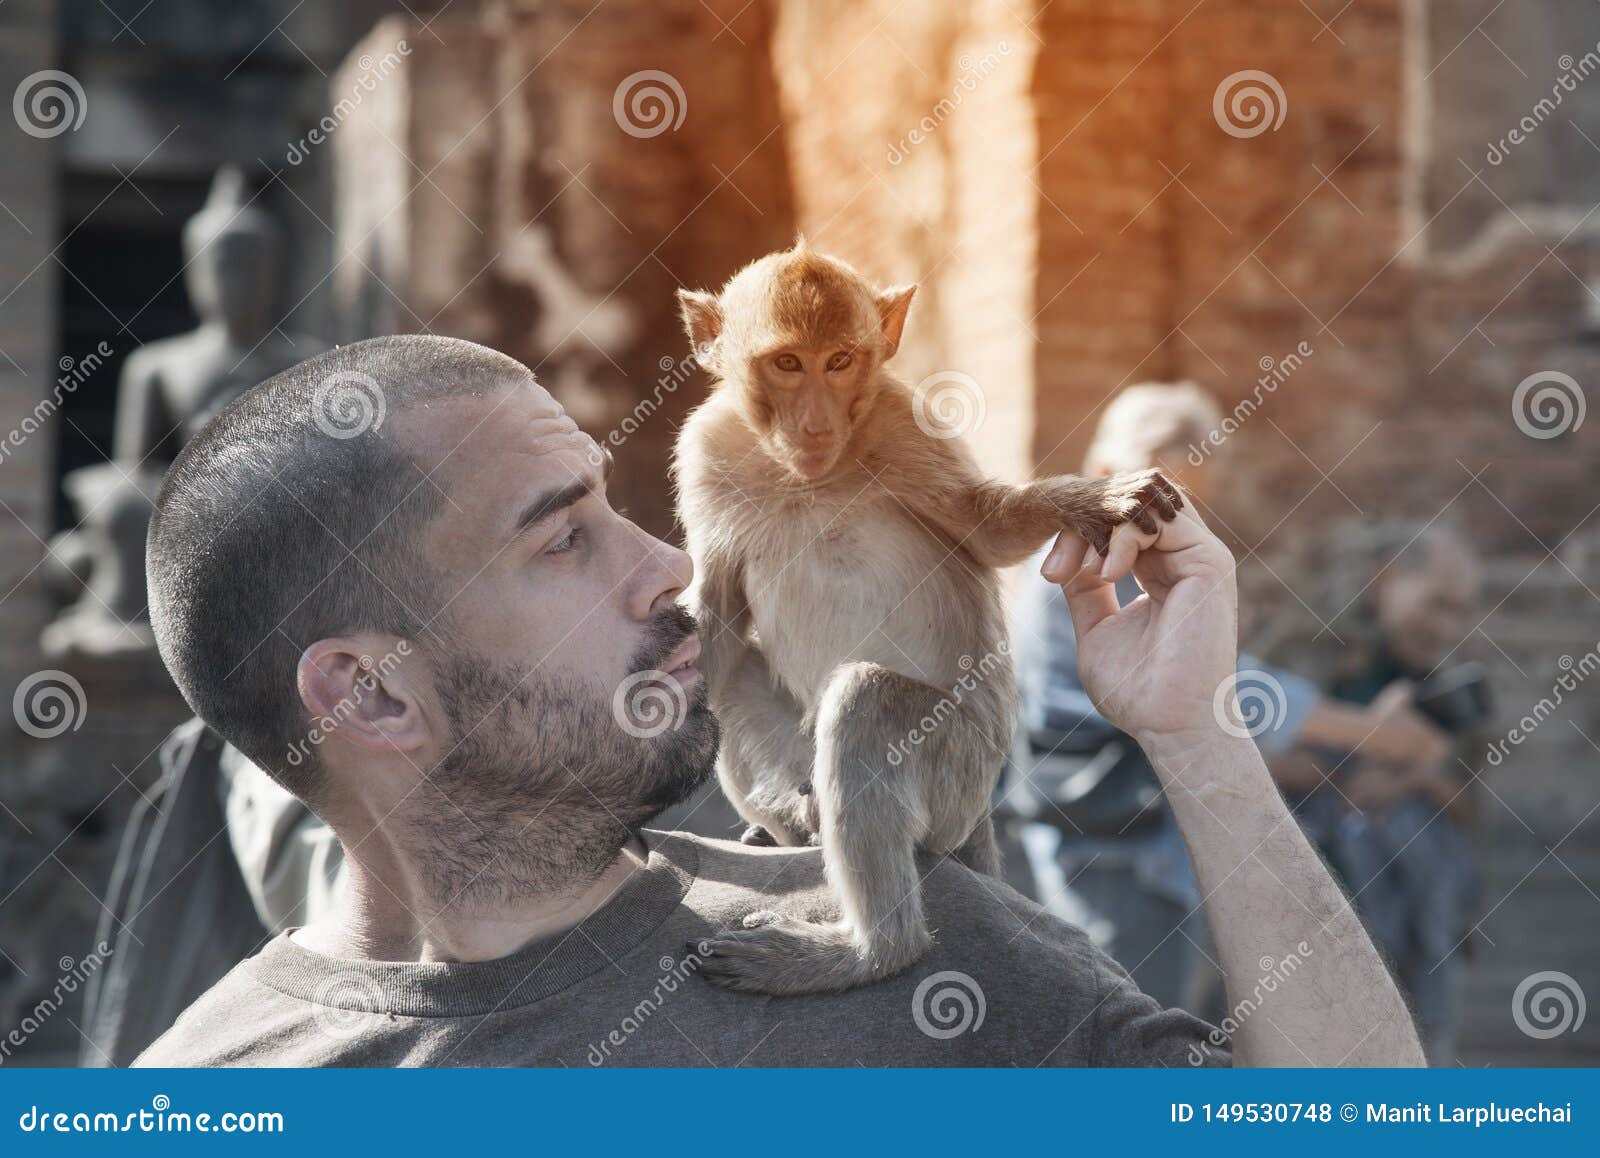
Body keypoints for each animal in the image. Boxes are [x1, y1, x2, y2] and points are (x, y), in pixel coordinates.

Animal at [669, 240, 1182, 995]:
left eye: (840, 361)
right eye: (787, 363)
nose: (815, 423)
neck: (807, 475)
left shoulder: (903, 423)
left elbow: (988, 528)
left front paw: (1095, 501)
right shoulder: (706, 452)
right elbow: (715, 615)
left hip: (956, 777)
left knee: (866, 703)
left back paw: (868, 951)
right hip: (805, 755)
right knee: (729, 678)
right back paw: (790, 825)